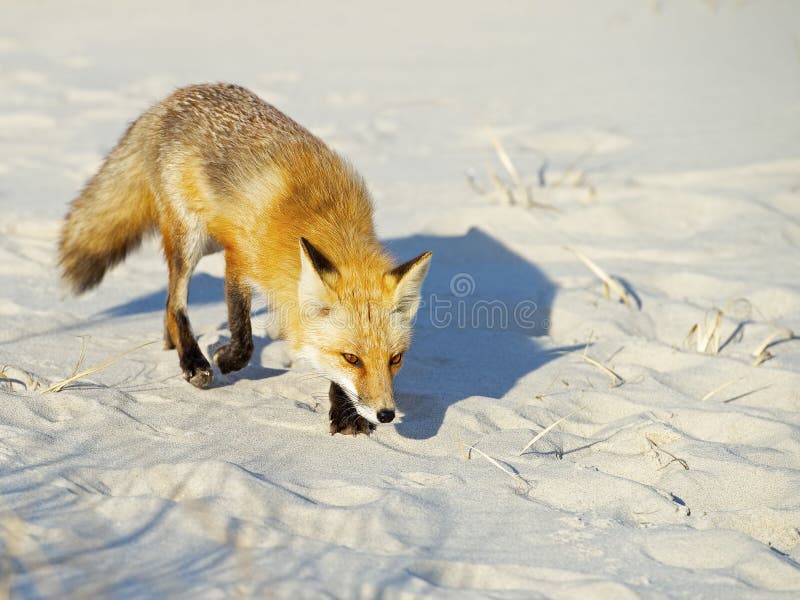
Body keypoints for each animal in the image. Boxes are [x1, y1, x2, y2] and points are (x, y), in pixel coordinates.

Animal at [59, 83, 432, 436]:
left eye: (395, 359)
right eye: (352, 358)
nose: (386, 414)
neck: (323, 221)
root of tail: (172, 97)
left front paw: (344, 412)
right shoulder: (239, 259)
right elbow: (243, 332)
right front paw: (226, 358)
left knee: (166, 303)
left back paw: (170, 343)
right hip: (192, 238)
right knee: (175, 302)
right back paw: (192, 360)